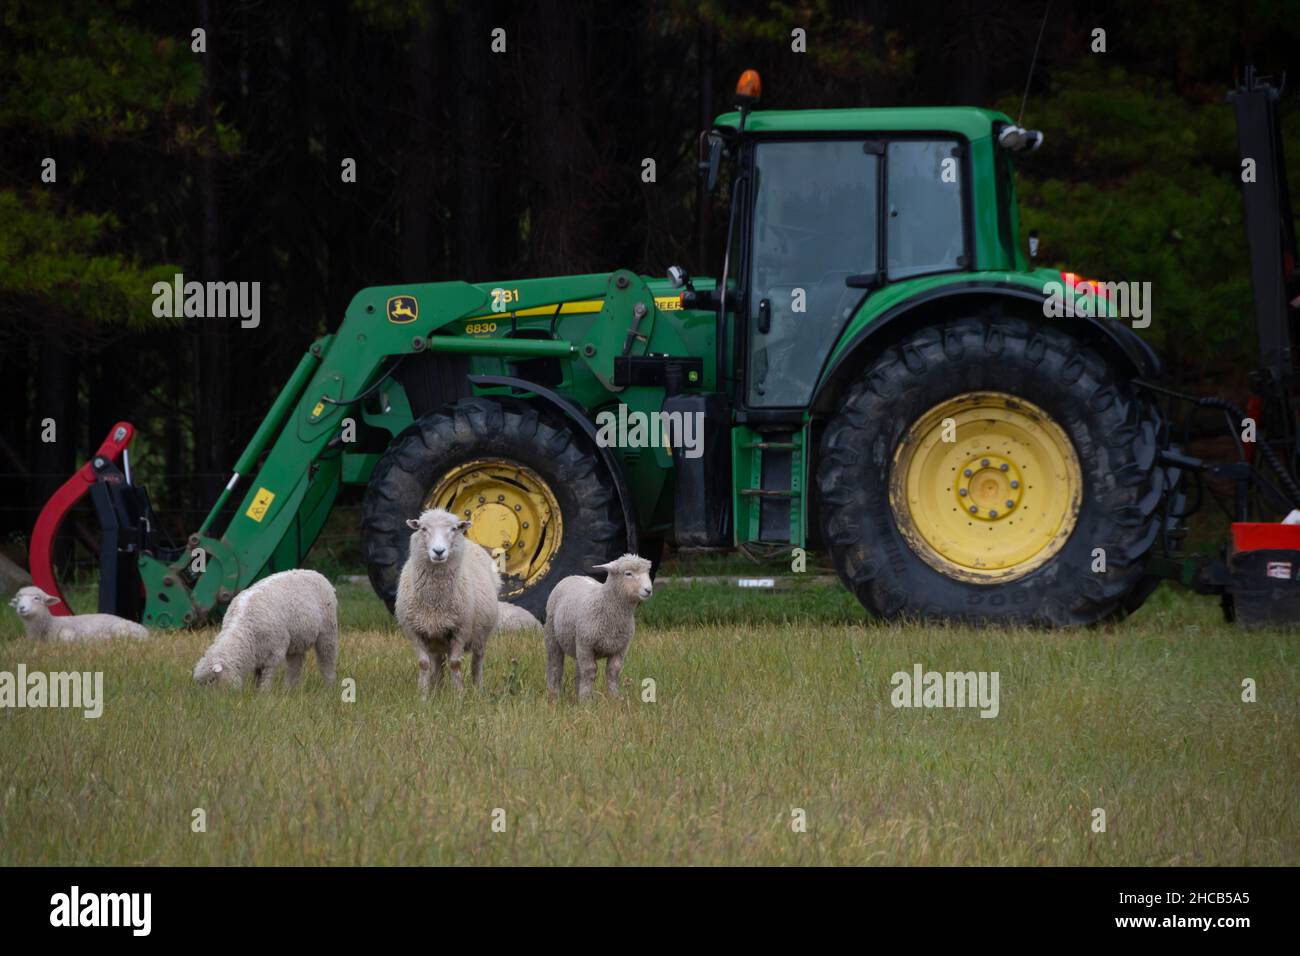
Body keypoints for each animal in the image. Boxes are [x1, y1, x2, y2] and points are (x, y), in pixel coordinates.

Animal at [8, 586, 149, 642]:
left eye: (36, 598)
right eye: (18, 599)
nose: (21, 607)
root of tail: (146, 632)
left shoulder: (67, 635)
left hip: (120, 629)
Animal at [192, 569, 337, 691]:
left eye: (212, 681)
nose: (213, 702)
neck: (245, 628)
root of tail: (315, 572)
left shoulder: (274, 653)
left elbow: (267, 676)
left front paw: (264, 694)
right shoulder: (258, 652)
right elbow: (258, 676)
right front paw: (255, 692)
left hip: (328, 631)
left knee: (327, 661)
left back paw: (329, 687)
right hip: (298, 640)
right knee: (295, 665)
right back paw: (289, 690)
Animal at [395, 508, 500, 696]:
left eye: (453, 529)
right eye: (423, 528)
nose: (439, 551)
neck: (434, 601)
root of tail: (471, 543)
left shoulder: (461, 630)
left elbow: (455, 663)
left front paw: (459, 695)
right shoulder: (414, 631)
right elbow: (424, 664)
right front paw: (423, 696)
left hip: (481, 634)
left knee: (477, 661)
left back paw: (478, 689)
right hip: (436, 638)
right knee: (437, 664)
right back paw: (438, 689)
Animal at [544, 554, 653, 700]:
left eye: (647, 572)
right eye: (628, 573)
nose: (648, 590)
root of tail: (572, 575)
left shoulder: (621, 648)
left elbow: (613, 671)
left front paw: (614, 697)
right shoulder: (586, 644)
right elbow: (589, 671)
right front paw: (586, 699)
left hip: (578, 646)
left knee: (579, 669)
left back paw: (577, 692)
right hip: (553, 636)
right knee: (555, 664)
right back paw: (554, 693)